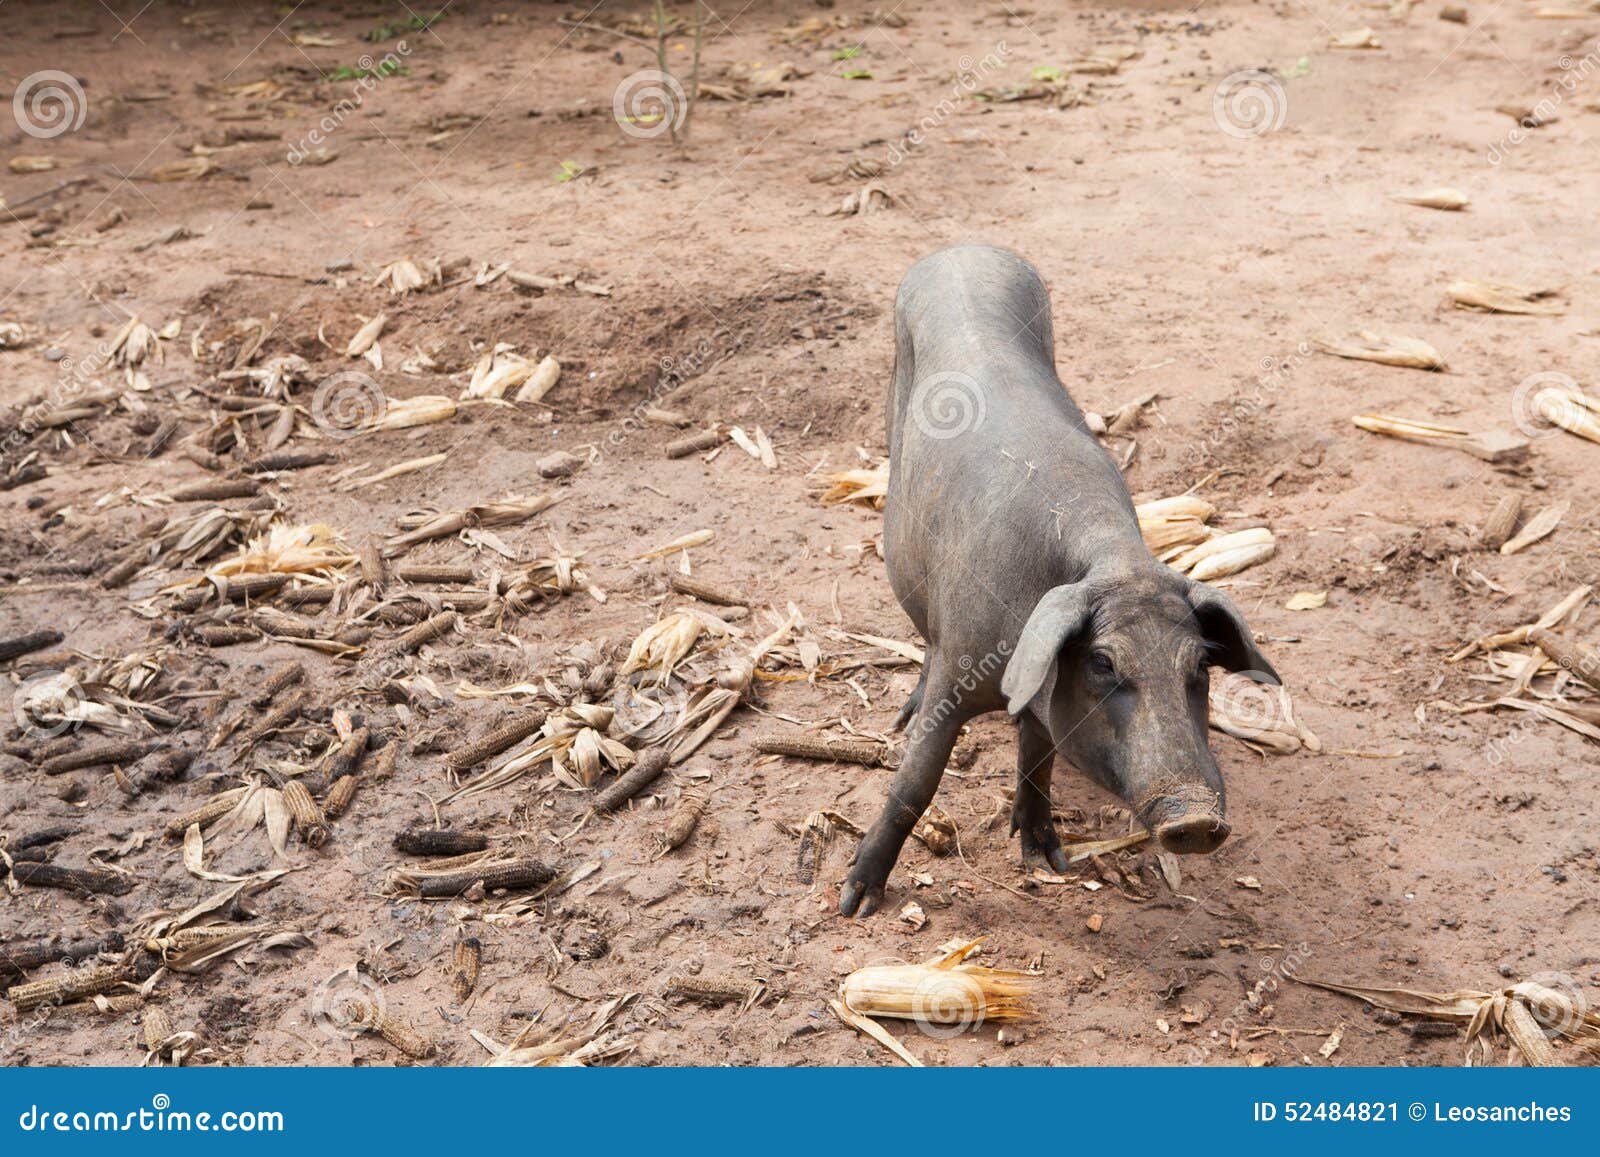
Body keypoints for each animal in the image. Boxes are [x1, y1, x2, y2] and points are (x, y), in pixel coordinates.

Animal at [839, 243, 1279, 917]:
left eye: (1200, 665)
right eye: (1102, 662)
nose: (1197, 820)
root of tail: (963, 247)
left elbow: (1037, 759)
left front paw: (1050, 862)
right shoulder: (958, 666)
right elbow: (915, 781)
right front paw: (855, 903)